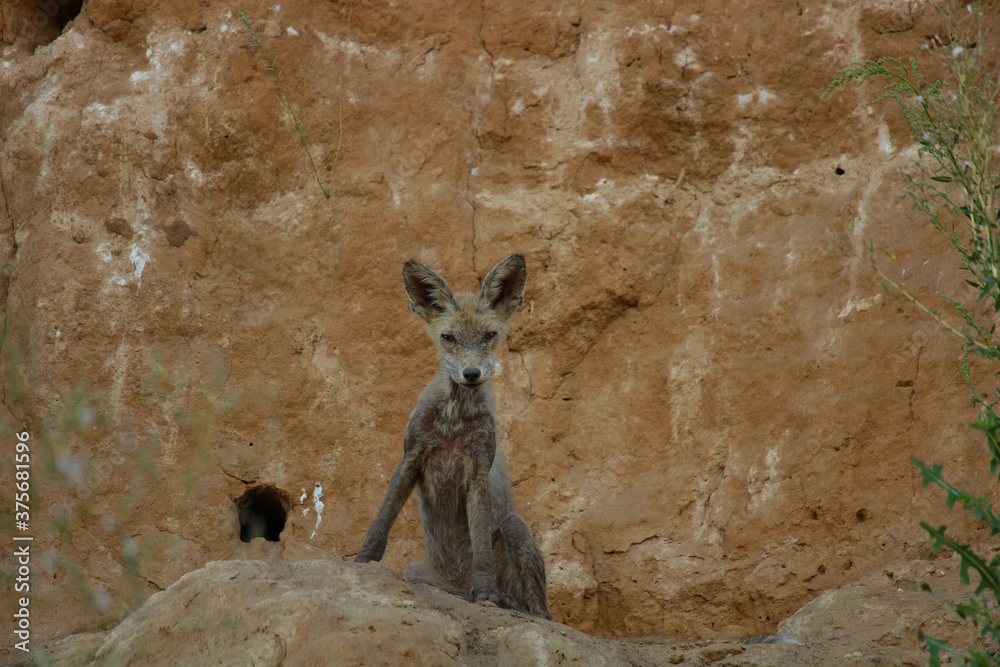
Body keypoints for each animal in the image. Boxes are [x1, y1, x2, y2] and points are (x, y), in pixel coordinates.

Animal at [354, 253, 550, 619]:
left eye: (489, 335)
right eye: (449, 337)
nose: (471, 373)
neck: (453, 426)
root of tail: (456, 589)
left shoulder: (478, 471)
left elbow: (481, 548)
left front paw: (486, 592)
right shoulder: (411, 458)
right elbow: (381, 522)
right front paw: (361, 562)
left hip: (515, 527)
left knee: (541, 613)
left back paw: (511, 602)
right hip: (416, 573)